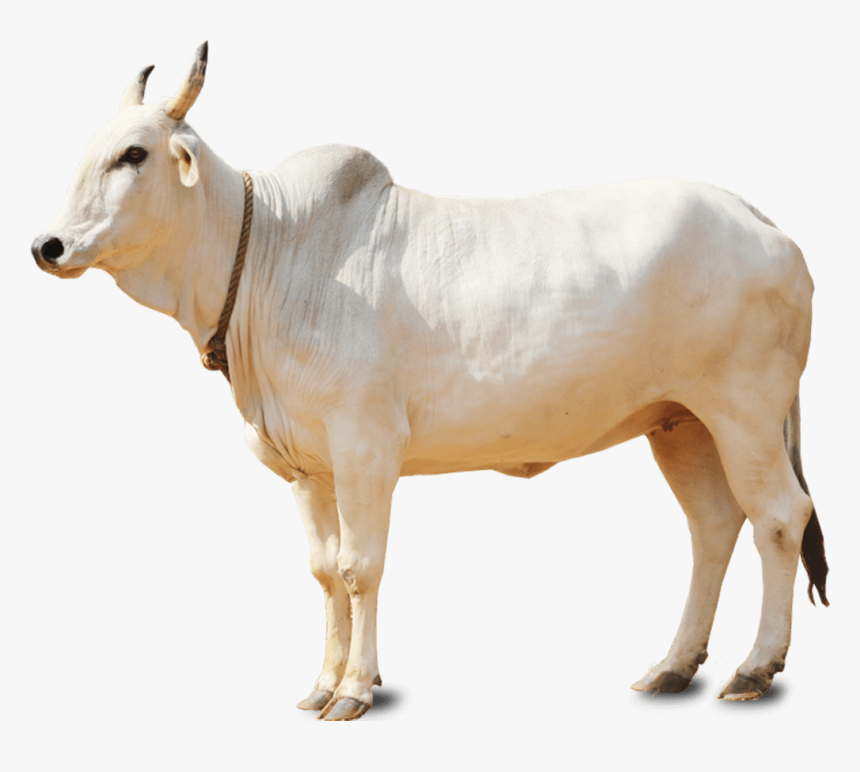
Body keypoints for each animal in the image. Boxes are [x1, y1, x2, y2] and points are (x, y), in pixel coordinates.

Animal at [31, 43, 828, 720]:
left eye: (134, 154)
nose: (49, 245)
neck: (268, 255)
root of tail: (758, 219)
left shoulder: (365, 446)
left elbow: (360, 567)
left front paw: (354, 689)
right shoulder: (307, 467)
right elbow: (324, 573)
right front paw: (321, 682)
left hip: (745, 410)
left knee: (779, 518)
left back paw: (754, 668)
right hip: (681, 422)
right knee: (713, 529)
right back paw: (672, 666)